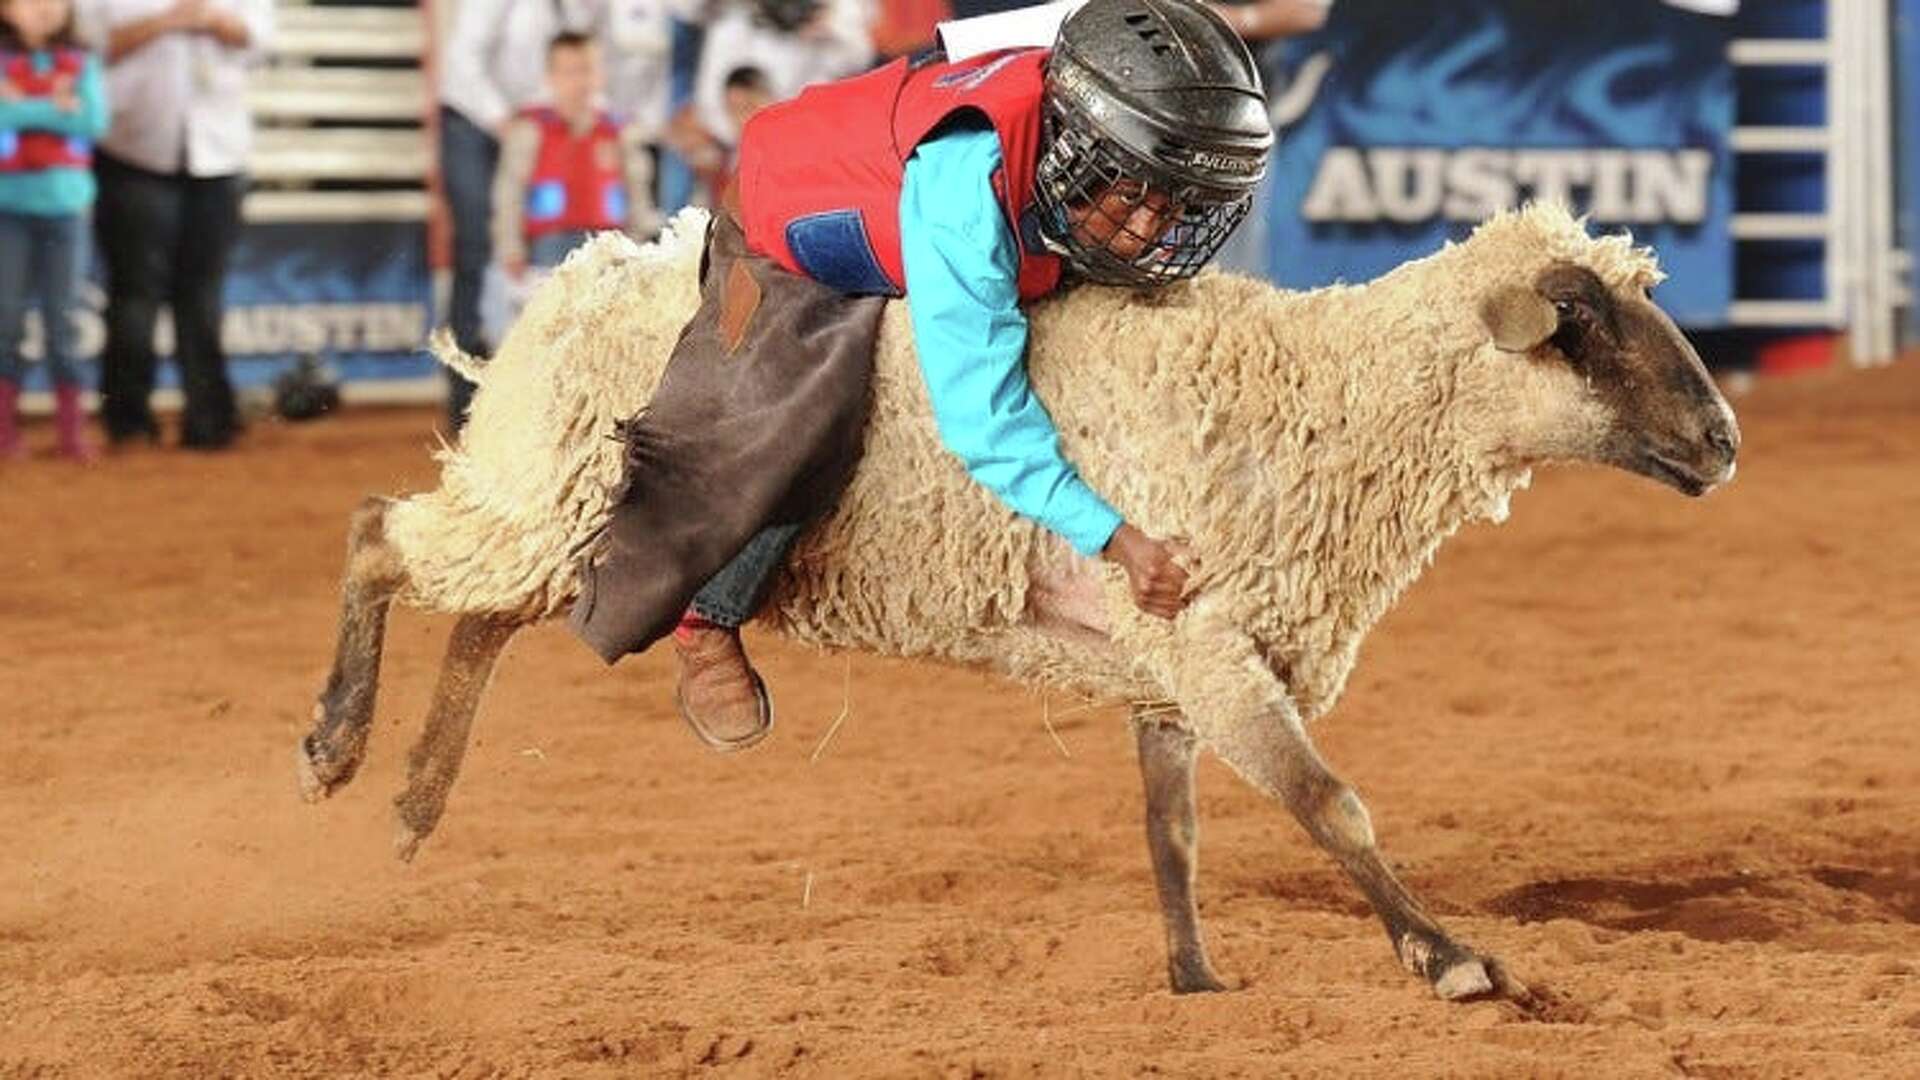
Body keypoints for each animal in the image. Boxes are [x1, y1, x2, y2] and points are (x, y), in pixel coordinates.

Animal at [296, 201, 1740, 1001]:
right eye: (1581, 320)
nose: (1724, 440)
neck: (1318, 393)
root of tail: (578, 275)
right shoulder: (1208, 640)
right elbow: (1331, 804)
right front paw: (1452, 962)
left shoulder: (1172, 669)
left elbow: (1175, 837)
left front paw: (1196, 982)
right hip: (553, 496)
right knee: (379, 538)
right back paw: (335, 748)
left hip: (560, 511)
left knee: (477, 613)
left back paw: (413, 807)